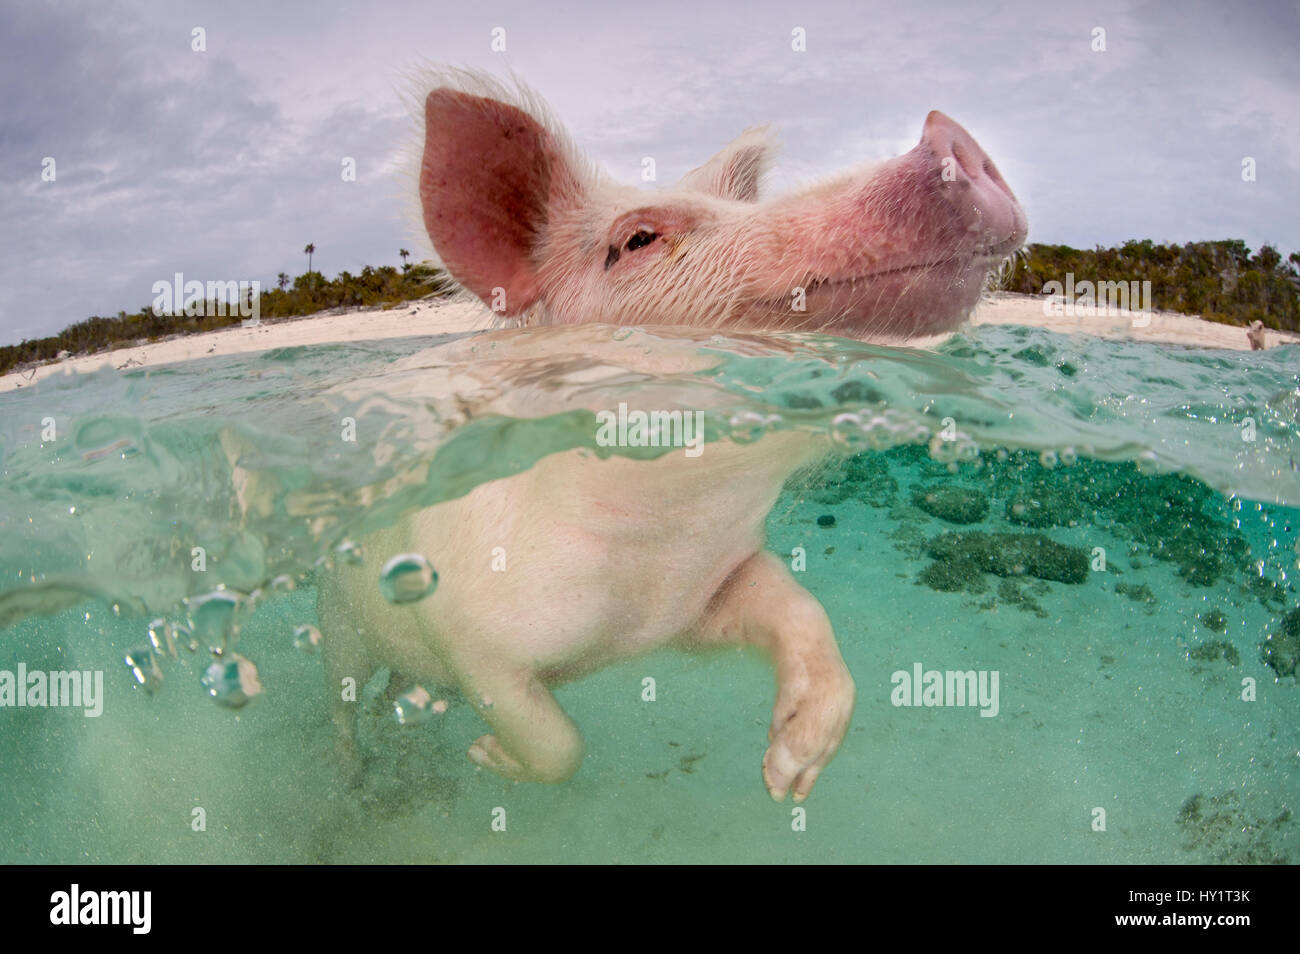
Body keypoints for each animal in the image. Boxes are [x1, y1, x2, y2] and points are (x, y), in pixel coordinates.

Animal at [314, 70, 1024, 805]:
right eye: (638, 239)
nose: (947, 133)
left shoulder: (705, 592)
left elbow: (800, 611)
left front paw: (789, 777)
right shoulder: (472, 636)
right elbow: (556, 742)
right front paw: (485, 756)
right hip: (336, 614)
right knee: (342, 699)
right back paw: (352, 775)